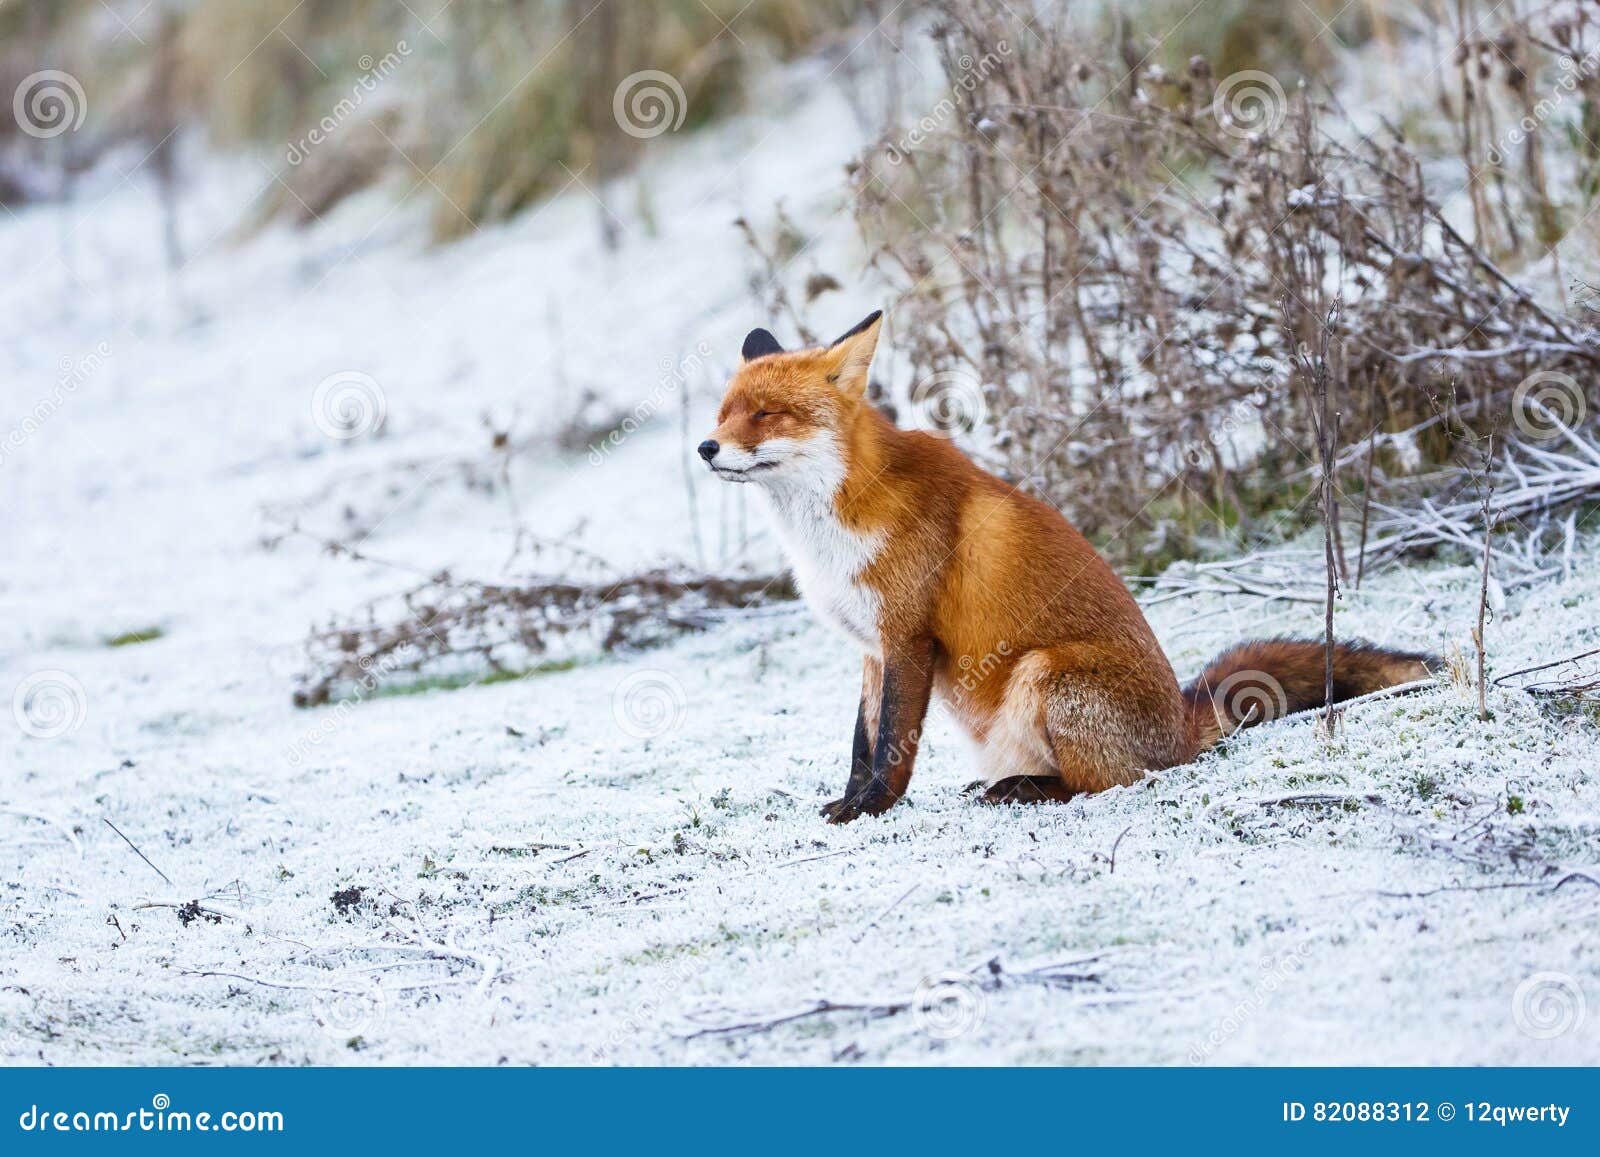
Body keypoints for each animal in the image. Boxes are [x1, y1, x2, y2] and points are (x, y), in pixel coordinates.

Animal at [699, 310, 1434, 823]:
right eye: (724, 412)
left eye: (766, 414)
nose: (706, 447)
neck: (832, 523)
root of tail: (1181, 723)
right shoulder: (871, 646)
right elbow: (861, 740)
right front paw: (849, 800)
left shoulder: (908, 636)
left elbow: (892, 747)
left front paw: (873, 809)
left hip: (1045, 670)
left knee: (1114, 782)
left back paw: (1023, 789)